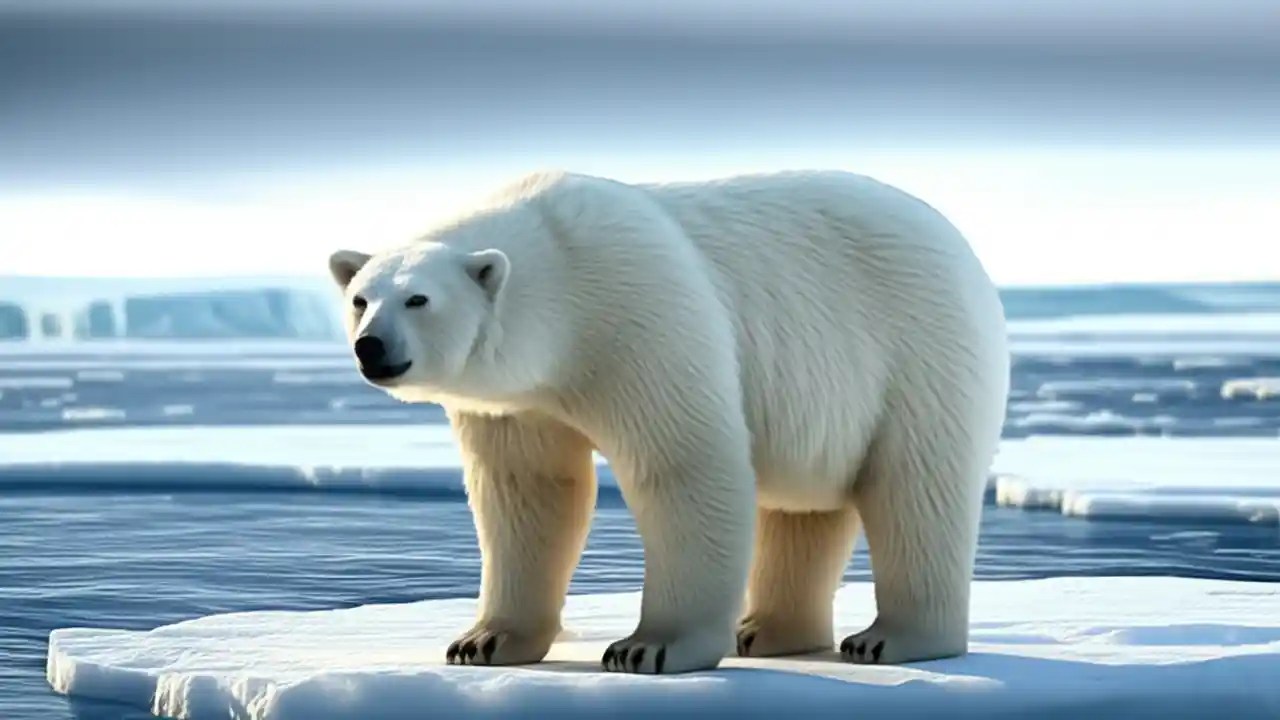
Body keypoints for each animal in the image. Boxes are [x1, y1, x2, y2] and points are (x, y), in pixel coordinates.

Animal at [326, 169, 1010, 675]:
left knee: (915, 488)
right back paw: (762, 631)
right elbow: (527, 493)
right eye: (361, 297)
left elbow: (685, 464)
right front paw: (481, 642)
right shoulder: (518, 399)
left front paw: (647, 648)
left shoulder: (637, 314)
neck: (558, 284)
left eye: (418, 299)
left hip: (919, 348)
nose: (371, 346)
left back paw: (890, 639)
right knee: (803, 508)